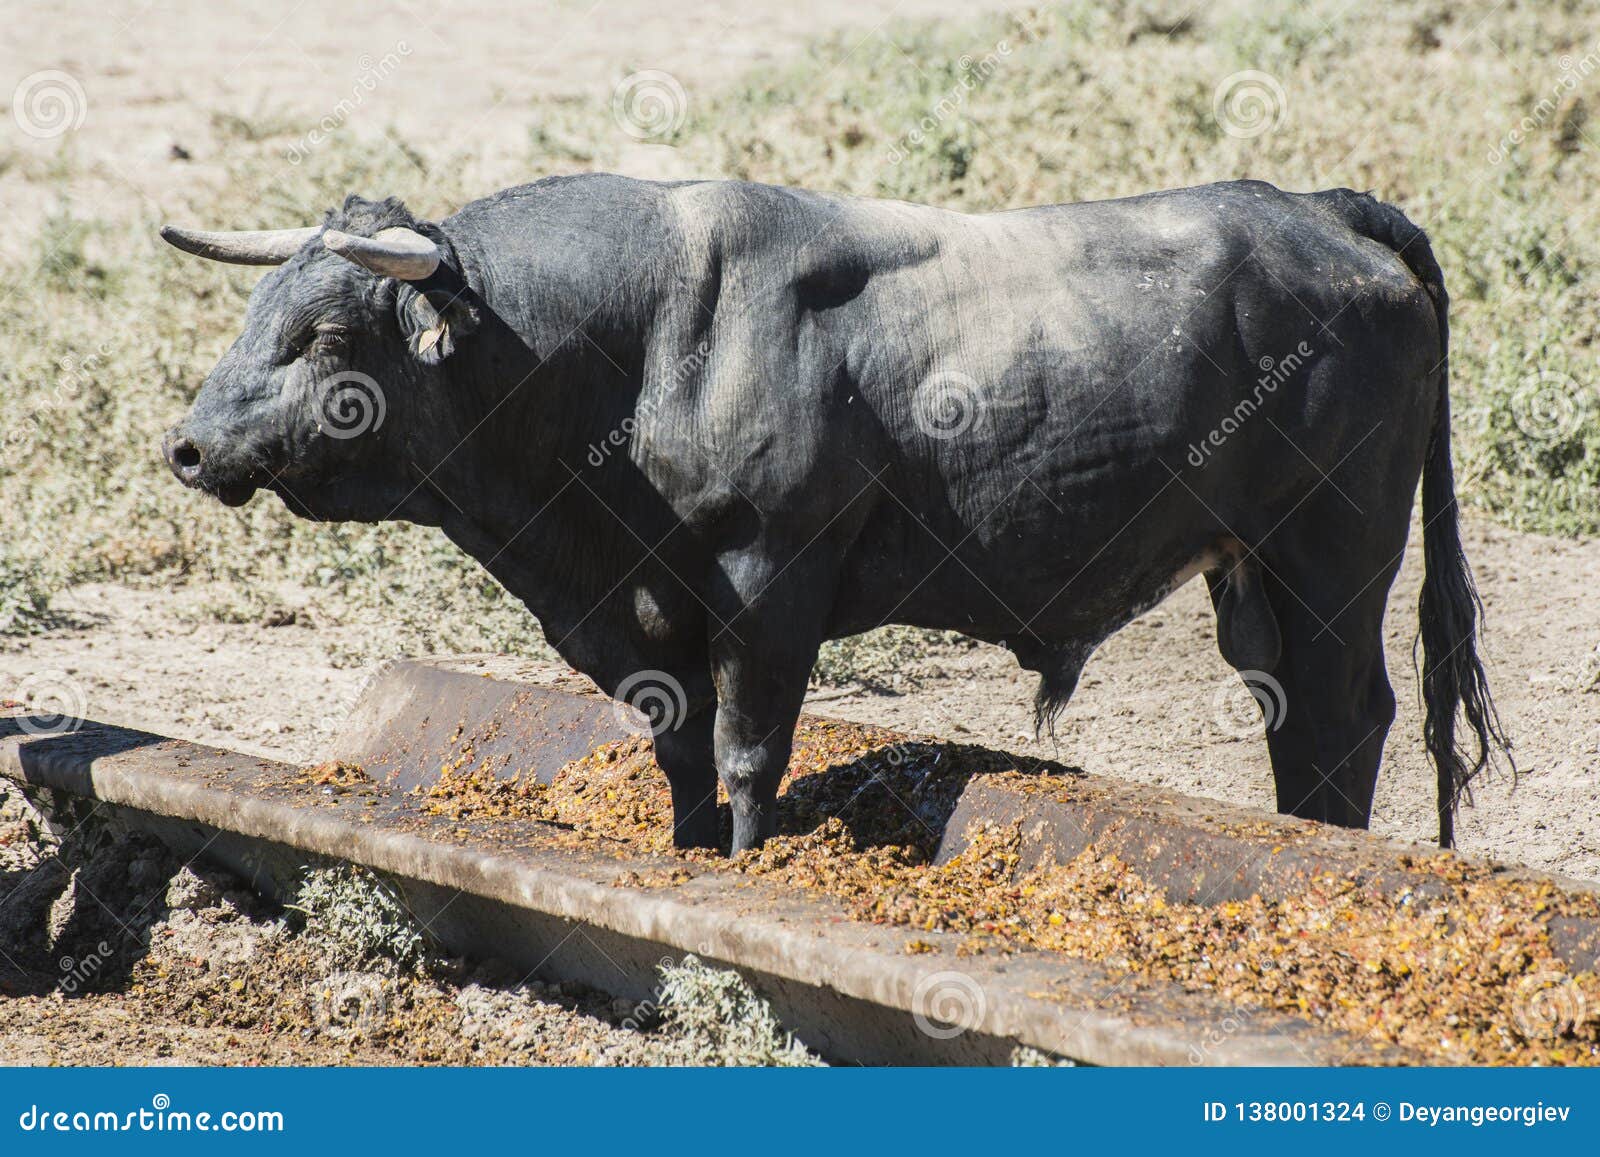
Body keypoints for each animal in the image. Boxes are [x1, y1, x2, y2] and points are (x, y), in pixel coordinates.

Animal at [160, 175, 1509, 853]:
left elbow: (749, 753)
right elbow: (678, 750)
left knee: (1345, 717)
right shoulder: (649, 612)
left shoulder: (769, 583)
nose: (189, 444)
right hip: (1256, 578)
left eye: (328, 335)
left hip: (1335, 554)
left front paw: (748, 868)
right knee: (1298, 722)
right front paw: (686, 854)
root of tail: (1310, 204)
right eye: (257, 311)